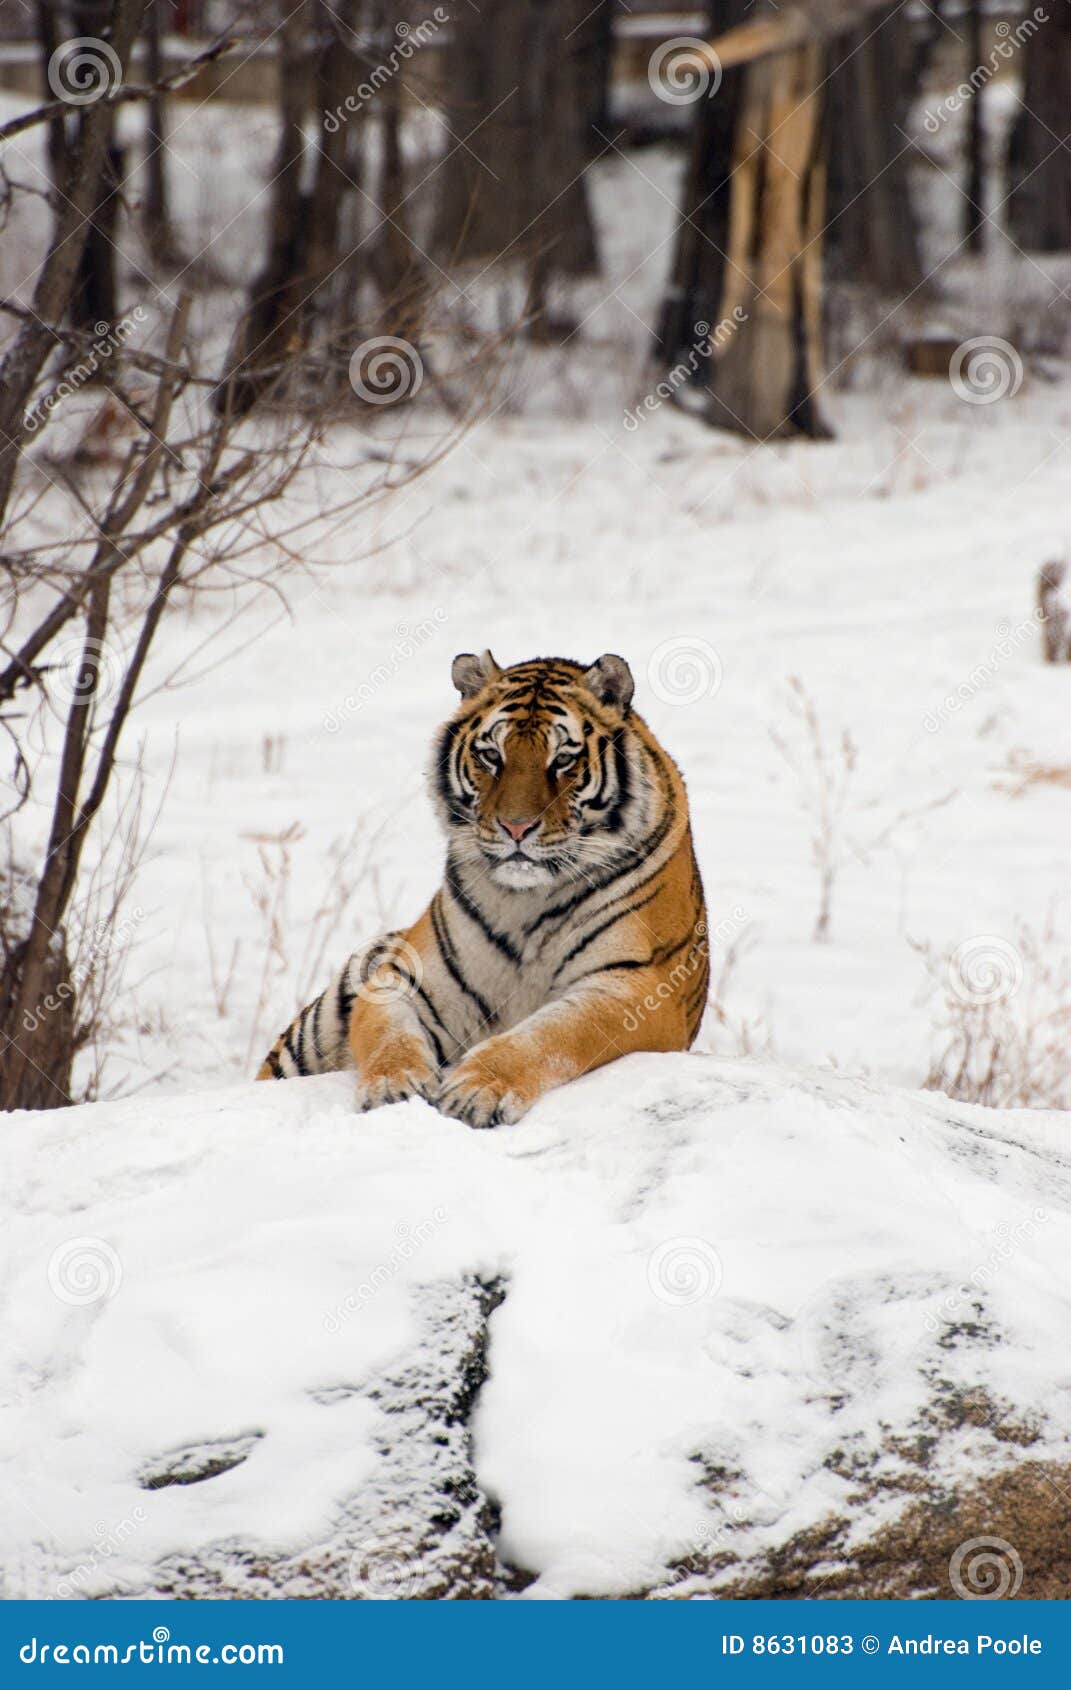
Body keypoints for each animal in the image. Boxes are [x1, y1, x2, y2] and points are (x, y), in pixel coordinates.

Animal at [257, 650, 709, 1128]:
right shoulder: (402, 975)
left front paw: (477, 1090)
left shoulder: (638, 988)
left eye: (562, 759)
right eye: (492, 756)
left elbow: (550, 1036)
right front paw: (393, 1086)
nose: (516, 827)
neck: (528, 900)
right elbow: (391, 1034)